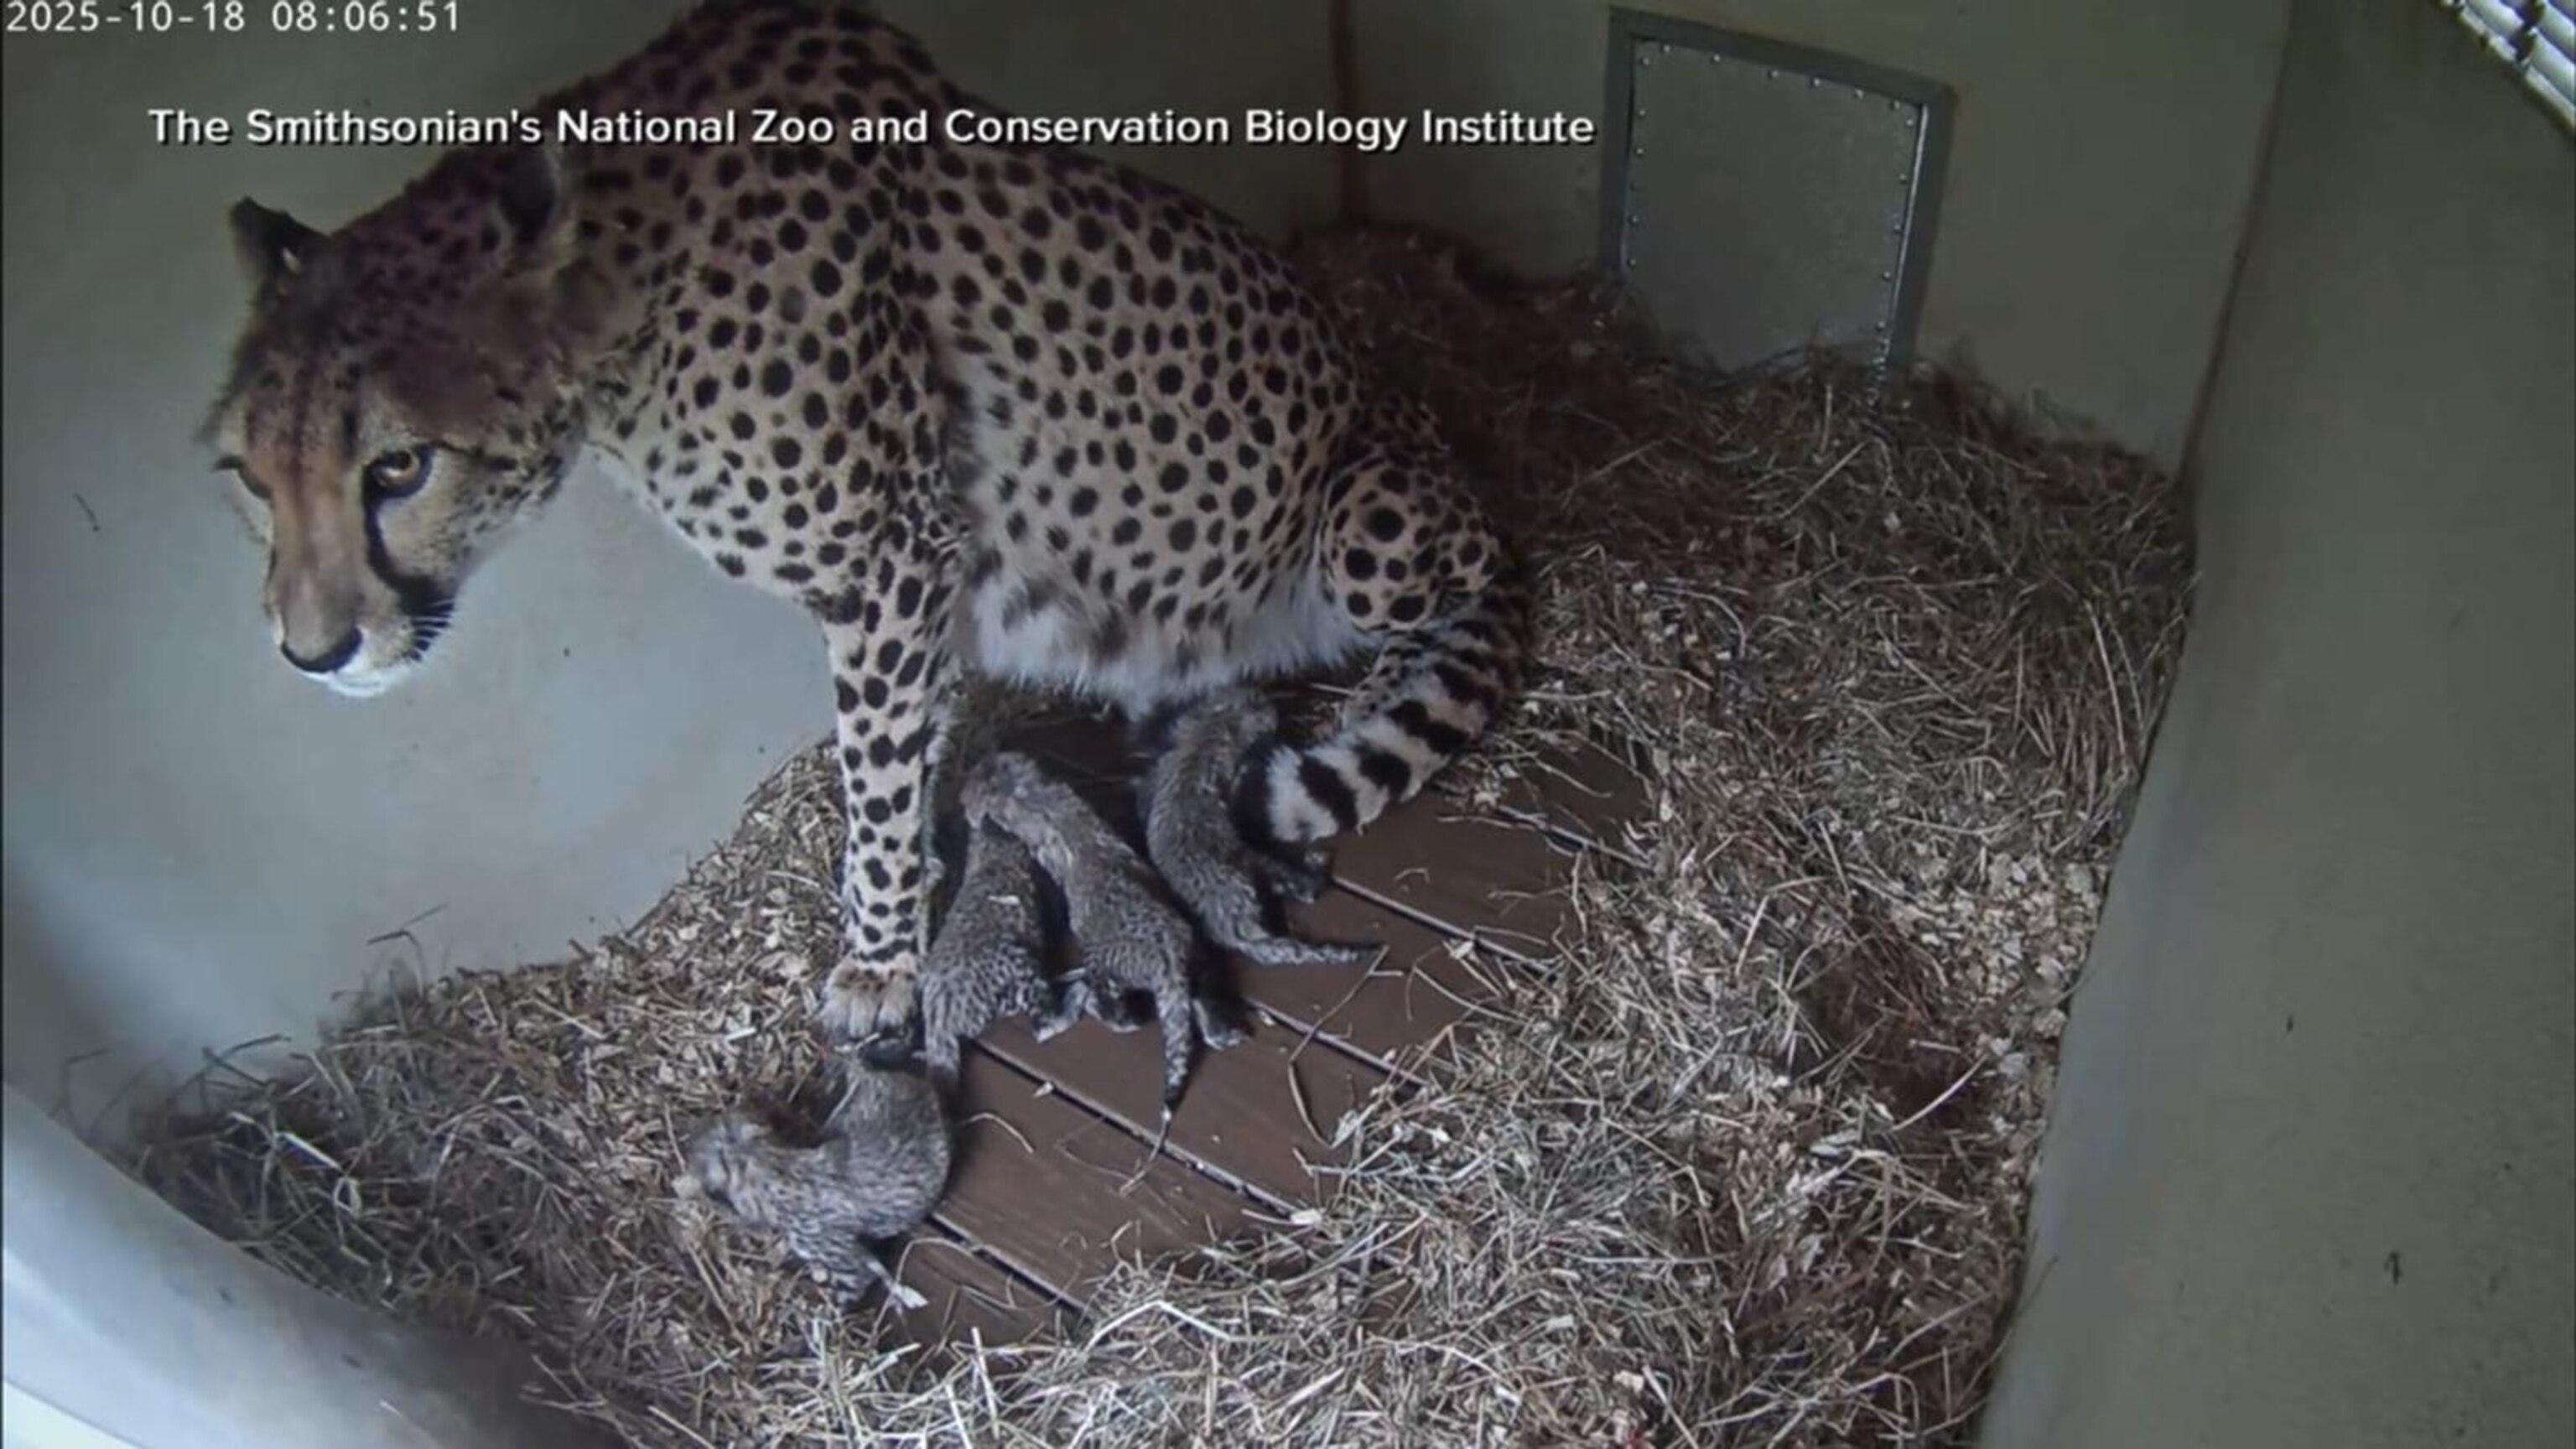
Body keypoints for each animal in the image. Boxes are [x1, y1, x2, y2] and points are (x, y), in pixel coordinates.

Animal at [199, 0, 1530, 1063]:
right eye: (249, 477)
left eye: (398, 466)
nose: (313, 652)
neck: (622, 300)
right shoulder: (929, 569)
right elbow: (909, 738)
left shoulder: (892, 554)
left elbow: (876, 772)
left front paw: (881, 959)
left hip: (1365, 521)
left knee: (1469, 591)